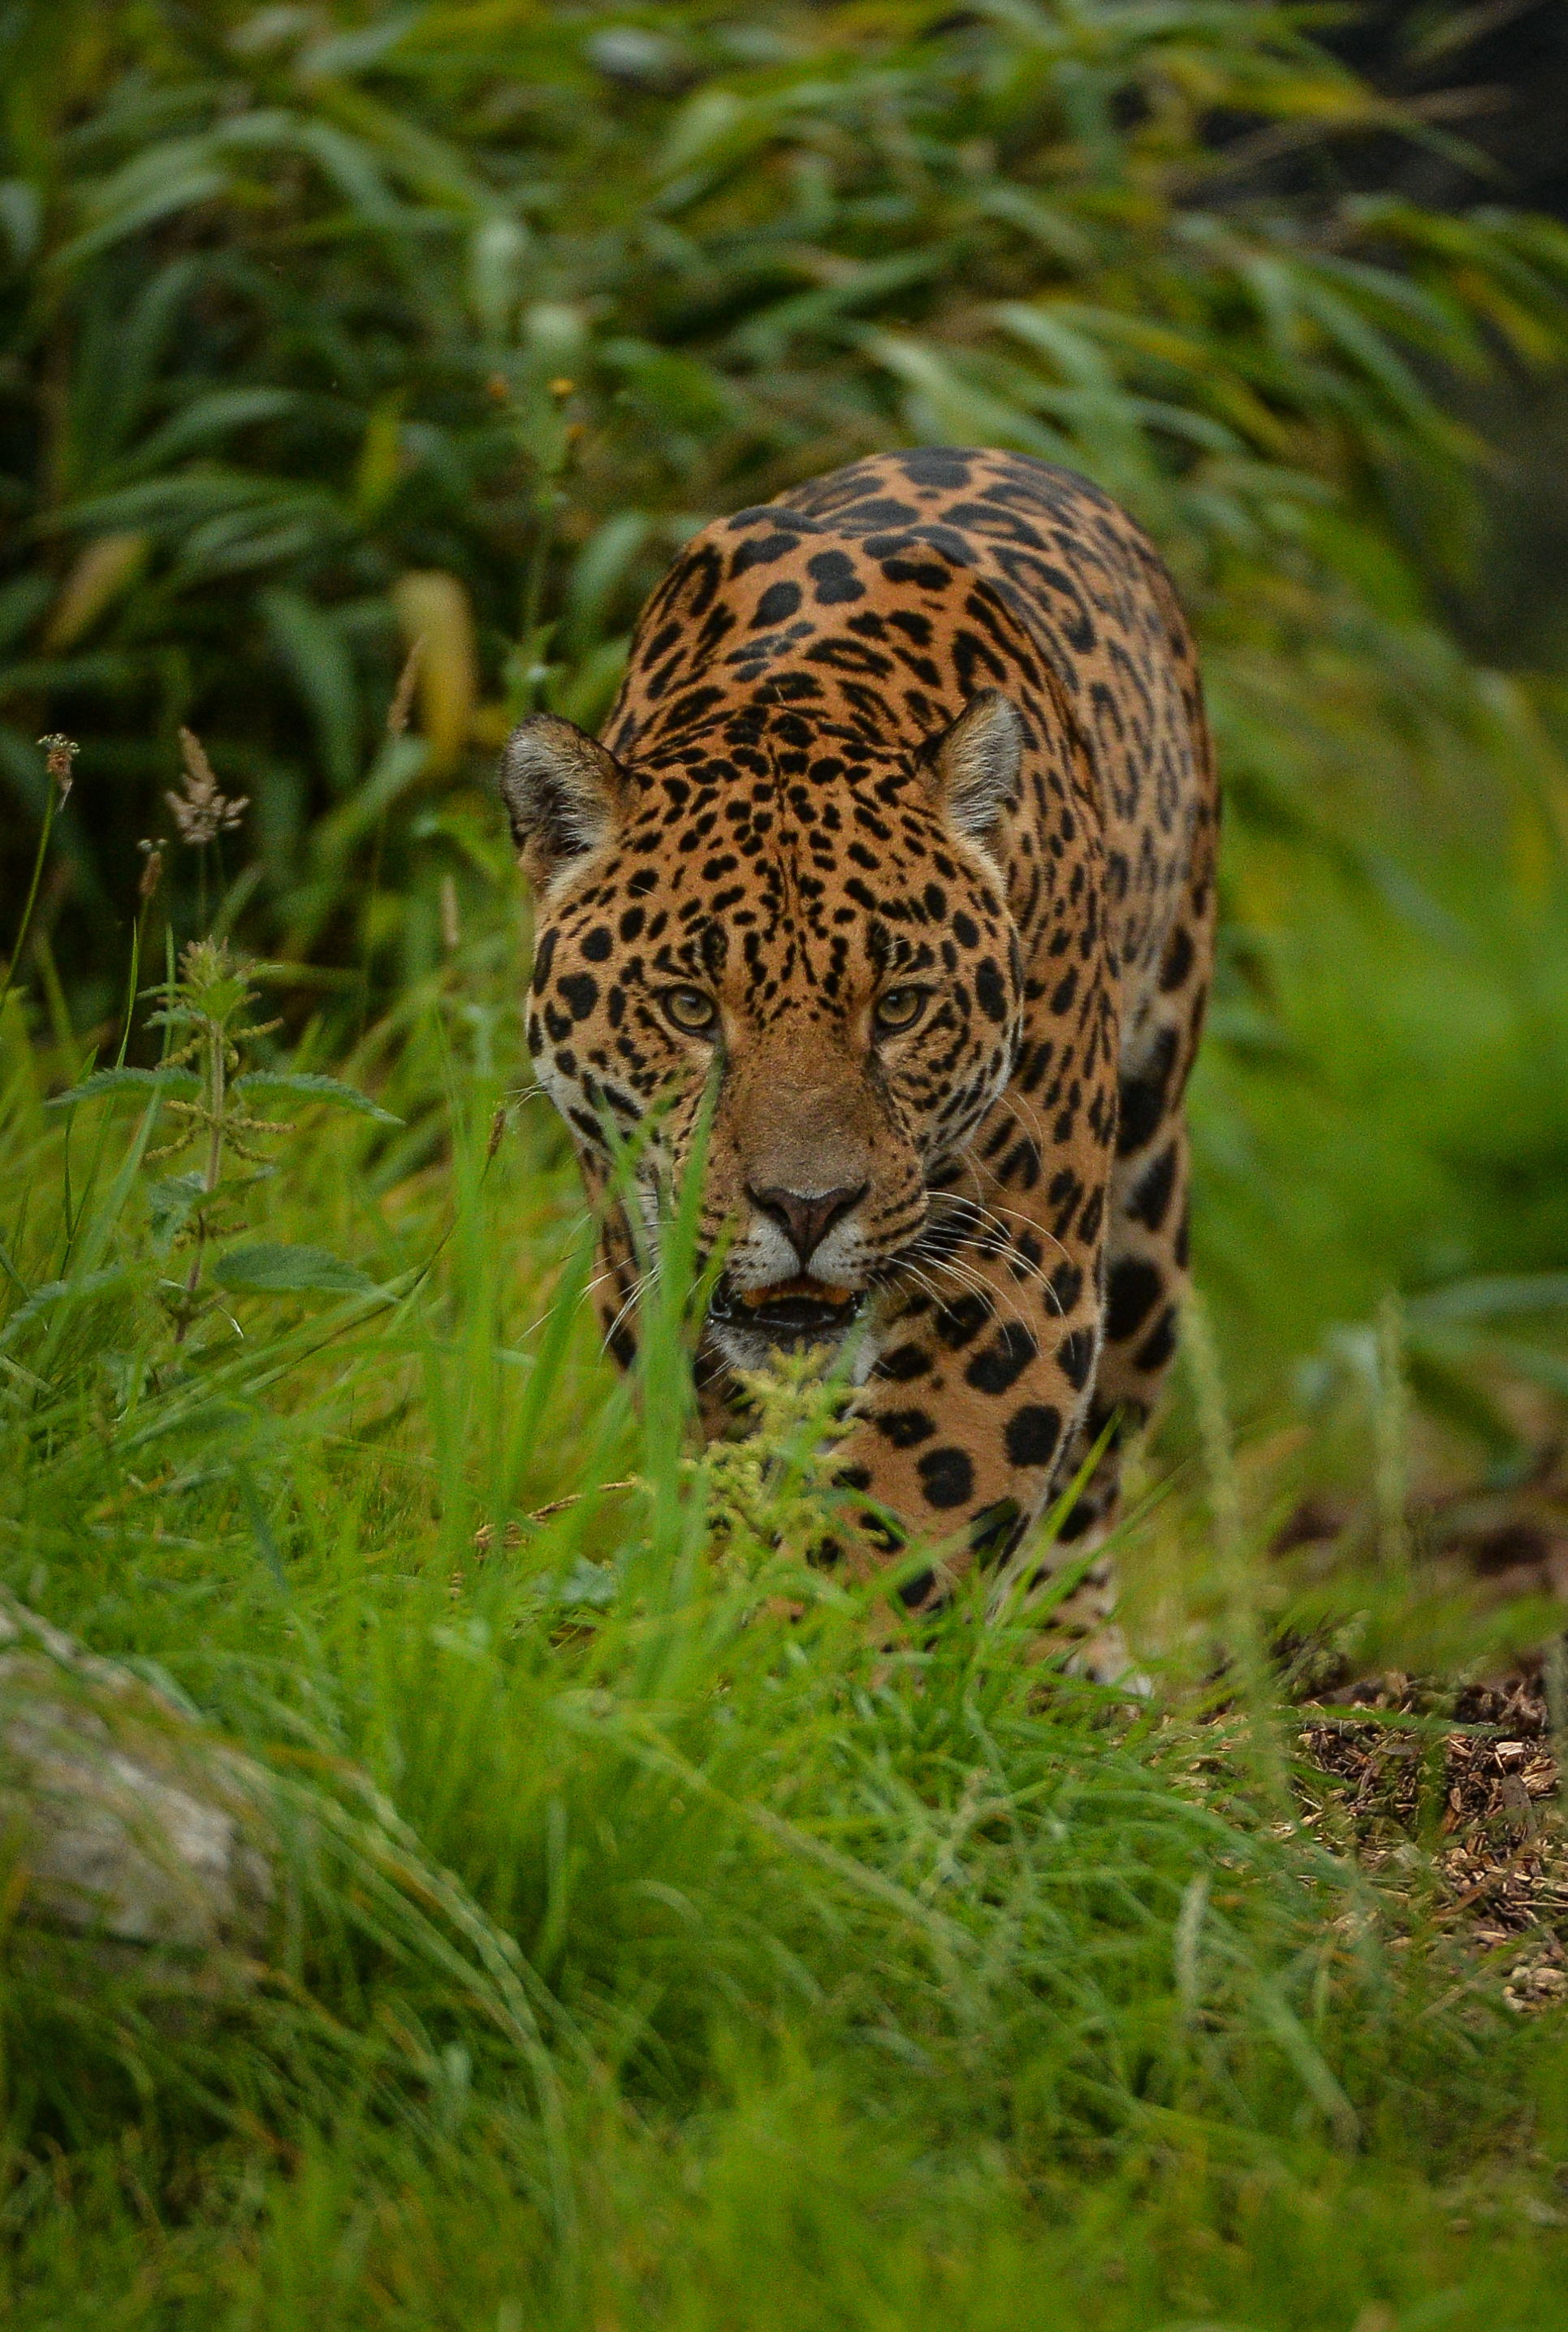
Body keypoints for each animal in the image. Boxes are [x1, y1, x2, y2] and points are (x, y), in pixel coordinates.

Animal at [500, 447, 1218, 1670]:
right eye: (689, 1006)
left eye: (899, 1007)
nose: (805, 1207)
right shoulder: (648, 1260)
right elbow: (725, 1460)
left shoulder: (1009, 1272)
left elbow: (897, 1514)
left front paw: (780, 1664)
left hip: (1144, 1186)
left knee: (1097, 1455)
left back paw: (1060, 1656)